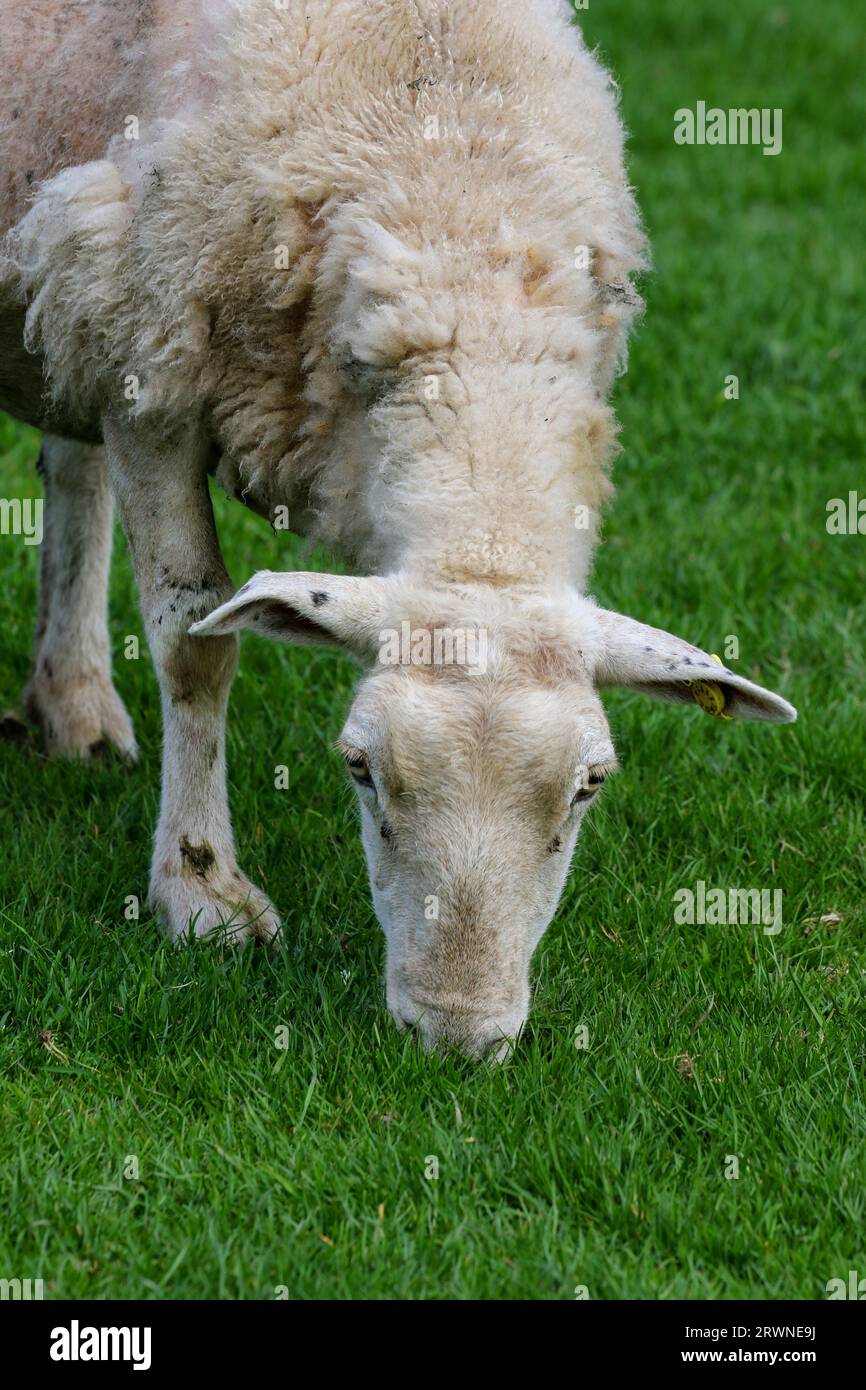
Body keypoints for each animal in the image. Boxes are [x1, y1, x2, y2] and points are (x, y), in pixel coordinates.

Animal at [0, 1, 795, 1058]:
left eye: (590, 786)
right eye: (358, 769)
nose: (455, 1036)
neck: (447, 176)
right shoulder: (147, 356)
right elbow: (193, 644)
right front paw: (200, 893)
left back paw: (75, 704)